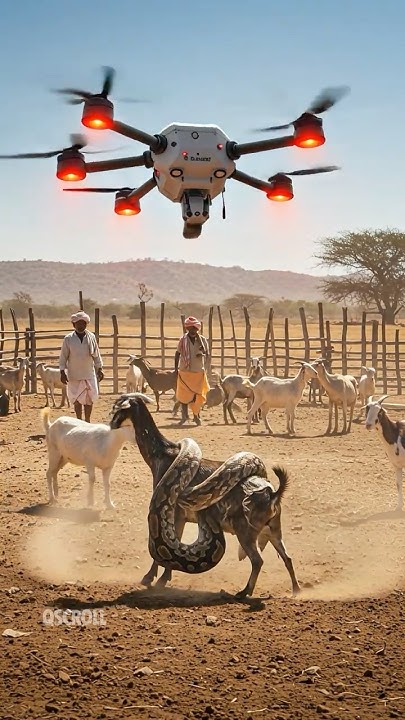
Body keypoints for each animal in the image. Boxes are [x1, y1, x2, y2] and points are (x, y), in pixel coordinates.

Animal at [110, 393, 300, 598]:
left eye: (118, 409)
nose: (111, 424)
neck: (162, 455)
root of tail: (273, 494)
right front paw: (159, 578)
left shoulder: (176, 515)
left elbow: (163, 550)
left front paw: (155, 578)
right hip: (273, 530)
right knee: (287, 557)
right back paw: (296, 590)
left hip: (245, 532)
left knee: (258, 560)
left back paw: (244, 592)